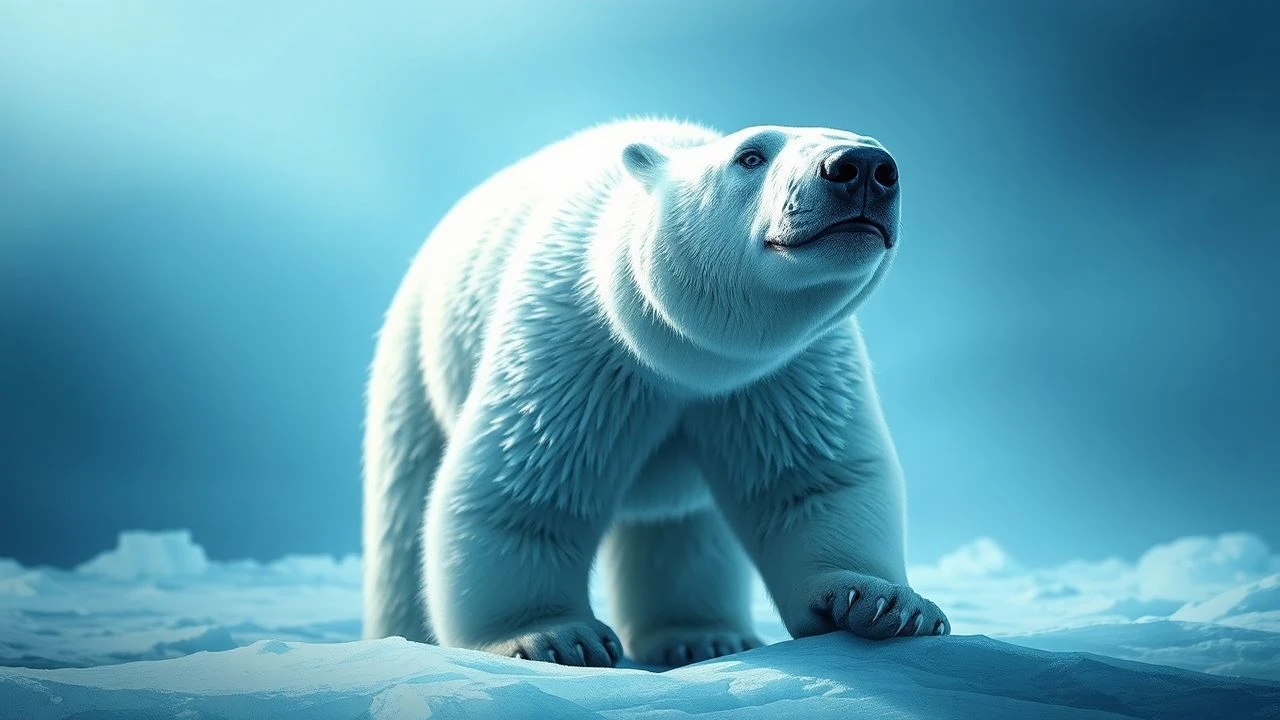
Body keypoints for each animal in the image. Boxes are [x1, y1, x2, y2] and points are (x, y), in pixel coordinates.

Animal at [361, 118, 949, 668]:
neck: (687, 359)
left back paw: (702, 637)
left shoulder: (786, 372)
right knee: (404, 504)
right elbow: (522, 486)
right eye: (751, 155)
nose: (862, 166)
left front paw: (884, 603)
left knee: (682, 530)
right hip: (413, 359)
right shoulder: (574, 348)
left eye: (870, 143)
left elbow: (815, 479)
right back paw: (403, 640)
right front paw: (551, 637)